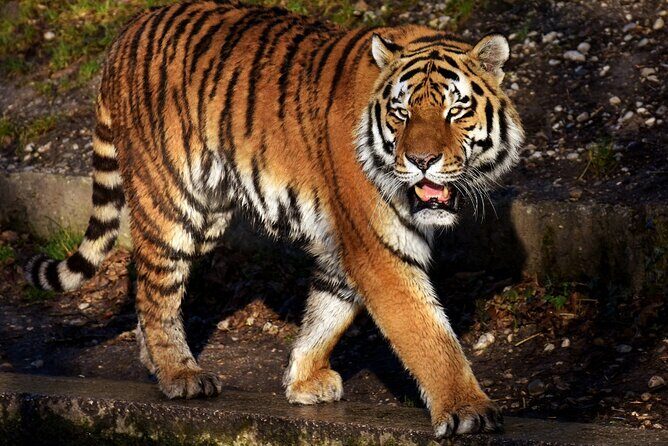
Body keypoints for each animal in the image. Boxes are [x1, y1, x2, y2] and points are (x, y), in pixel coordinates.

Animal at [25, 0, 523, 438]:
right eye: (401, 113)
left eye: (455, 110)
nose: (421, 161)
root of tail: (127, 31)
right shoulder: (378, 246)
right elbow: (428, 333)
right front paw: (467, 411)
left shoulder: (345, 244)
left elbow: (328, 311)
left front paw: (303, 380)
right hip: (170, 201)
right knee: (157, 287)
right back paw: (180, 374)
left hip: (208, 214)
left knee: (147, 282)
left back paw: (156, 362)